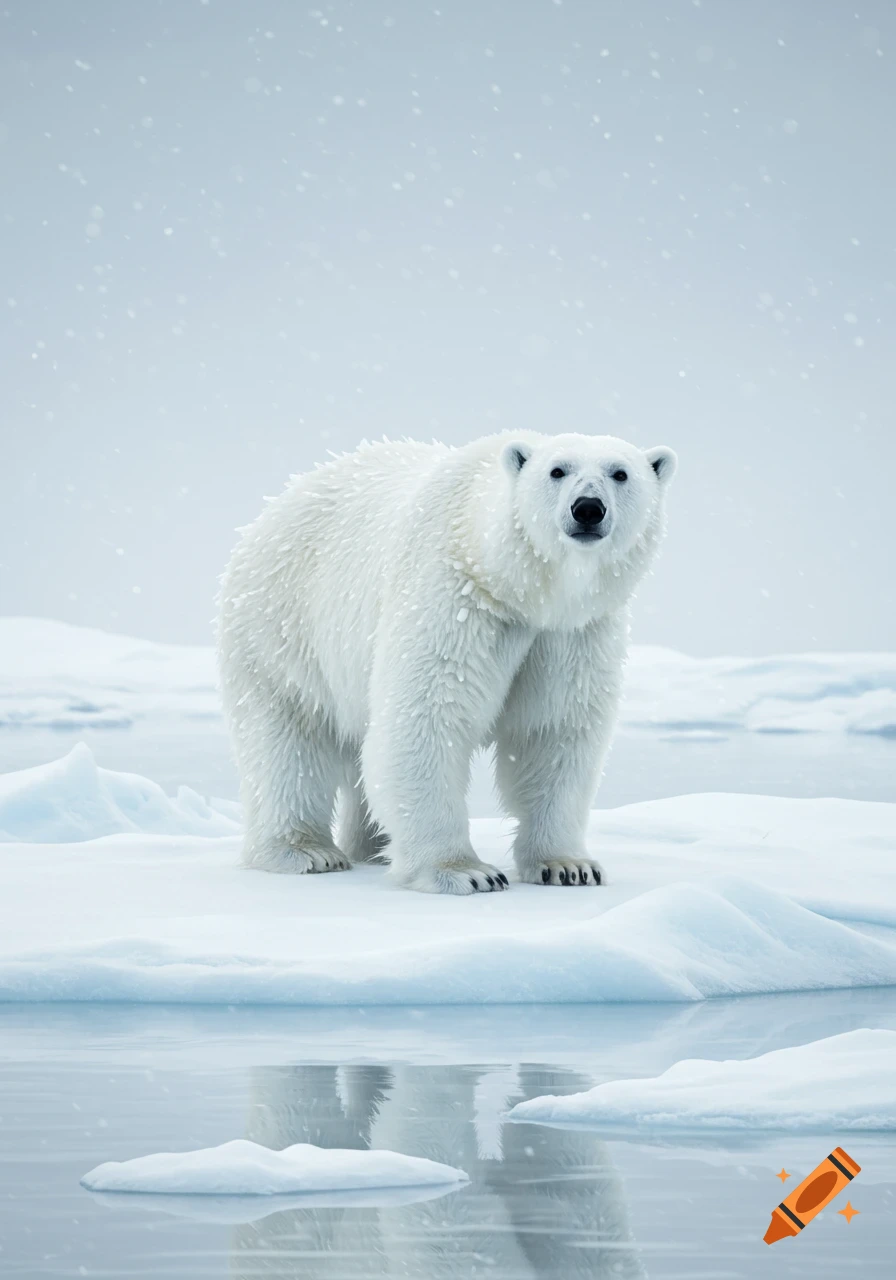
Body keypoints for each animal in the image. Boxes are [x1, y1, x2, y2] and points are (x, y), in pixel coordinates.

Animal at [217, 431, 676, 894]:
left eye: (620, 473)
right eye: (557, 470)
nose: (587, 508)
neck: (515, 585)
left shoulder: (573, 633)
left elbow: (554, 731)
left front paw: (569, 866)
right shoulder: (455, 597)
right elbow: (427, 716)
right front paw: (466, 872)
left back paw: (371, 845)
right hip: (282, 625)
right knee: (290, 740)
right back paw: (307, 851)